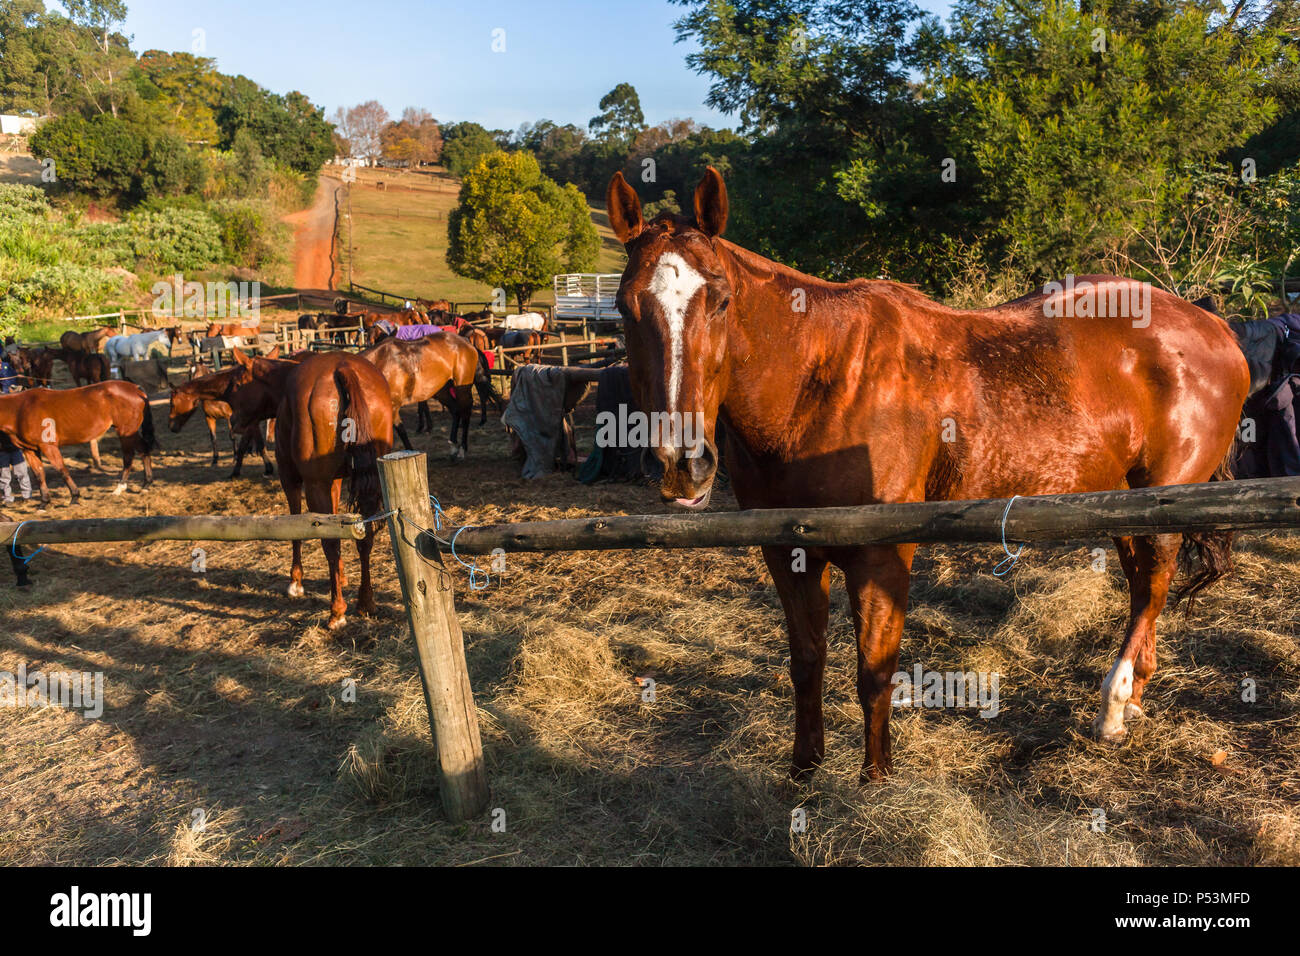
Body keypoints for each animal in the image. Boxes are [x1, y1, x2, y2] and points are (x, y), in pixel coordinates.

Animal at [0, 380, 157, 504]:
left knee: (129, 457)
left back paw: (120, 488)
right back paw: (146, 485)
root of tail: (135, 388)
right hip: (130, 432)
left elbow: (62, 470)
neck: (20, 409)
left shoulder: (48, 446)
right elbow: (39, 475)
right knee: (143, 450)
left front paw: (75, 496)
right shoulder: (30, 449)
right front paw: (44, 503)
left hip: (126, 432)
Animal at [229, 348, 392, 628]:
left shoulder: (291, 478)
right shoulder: (334, 482)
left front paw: (296, 580)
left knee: (330, 543)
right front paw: (341, 575)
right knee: (366, 536)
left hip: (314, 484)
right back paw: (365, 601)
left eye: (239, 384)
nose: (232, 420)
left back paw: (337, 610)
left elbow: (296, 523)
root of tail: (344, 369)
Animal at [606, 166, 1251, 782]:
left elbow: (874, 673)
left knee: (1155, 585)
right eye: (624, 307)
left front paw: (876, 784)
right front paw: (804, 772)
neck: (821, 383)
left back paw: (1114, 709)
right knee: (1143, 585)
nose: (681, 463)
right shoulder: (786, 552)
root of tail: (1213, 327)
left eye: (718, 301)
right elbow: (807, 664)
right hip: (1120, 501)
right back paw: (1133, 695)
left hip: (1163, 497)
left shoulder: (881, 556)